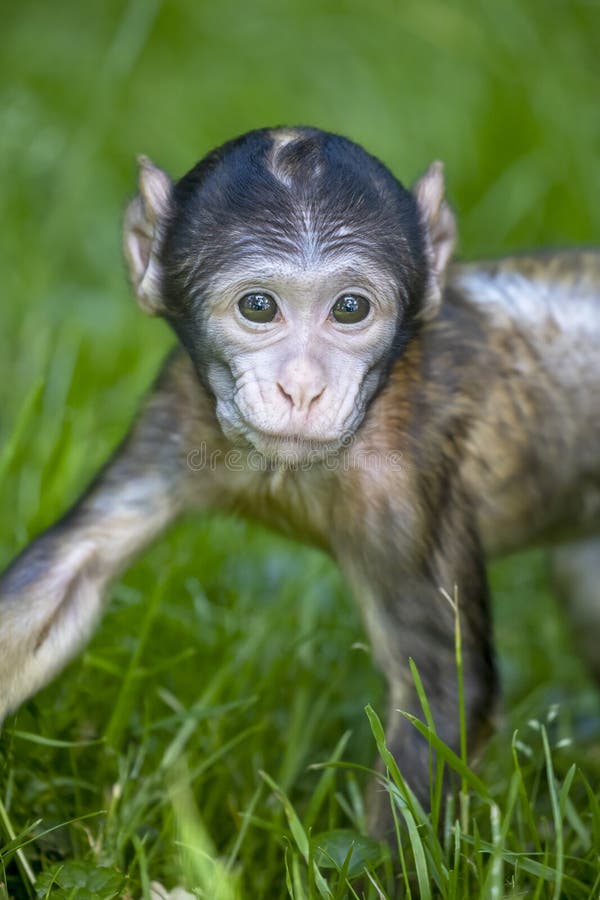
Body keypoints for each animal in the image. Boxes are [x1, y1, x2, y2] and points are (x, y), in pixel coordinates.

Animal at [0, 126, 599, 836]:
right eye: (259, 307)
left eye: (350, 308)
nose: (303, 387)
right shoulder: (179, 406)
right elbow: (66, 575)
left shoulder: (406, 480)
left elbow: (441, 687)